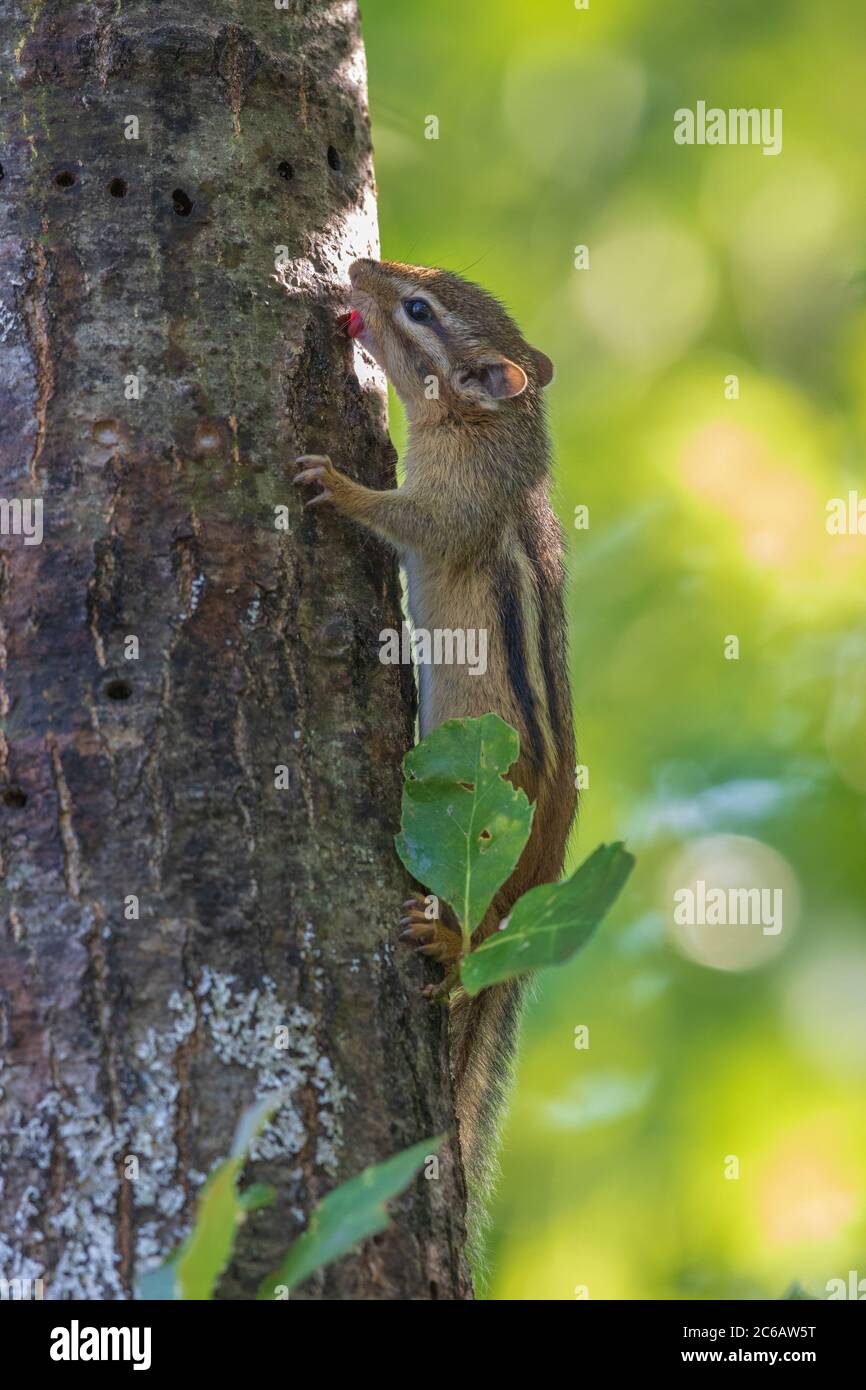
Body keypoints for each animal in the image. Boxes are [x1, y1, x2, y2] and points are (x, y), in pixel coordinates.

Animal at [293, 259, 576, 1268]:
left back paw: (449, 944)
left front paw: (338, 482)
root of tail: (549, 872)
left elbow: (408, 517)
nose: (357, 270)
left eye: (419, 309)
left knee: (471, 943)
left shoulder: (455, 500)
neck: (490, 427)